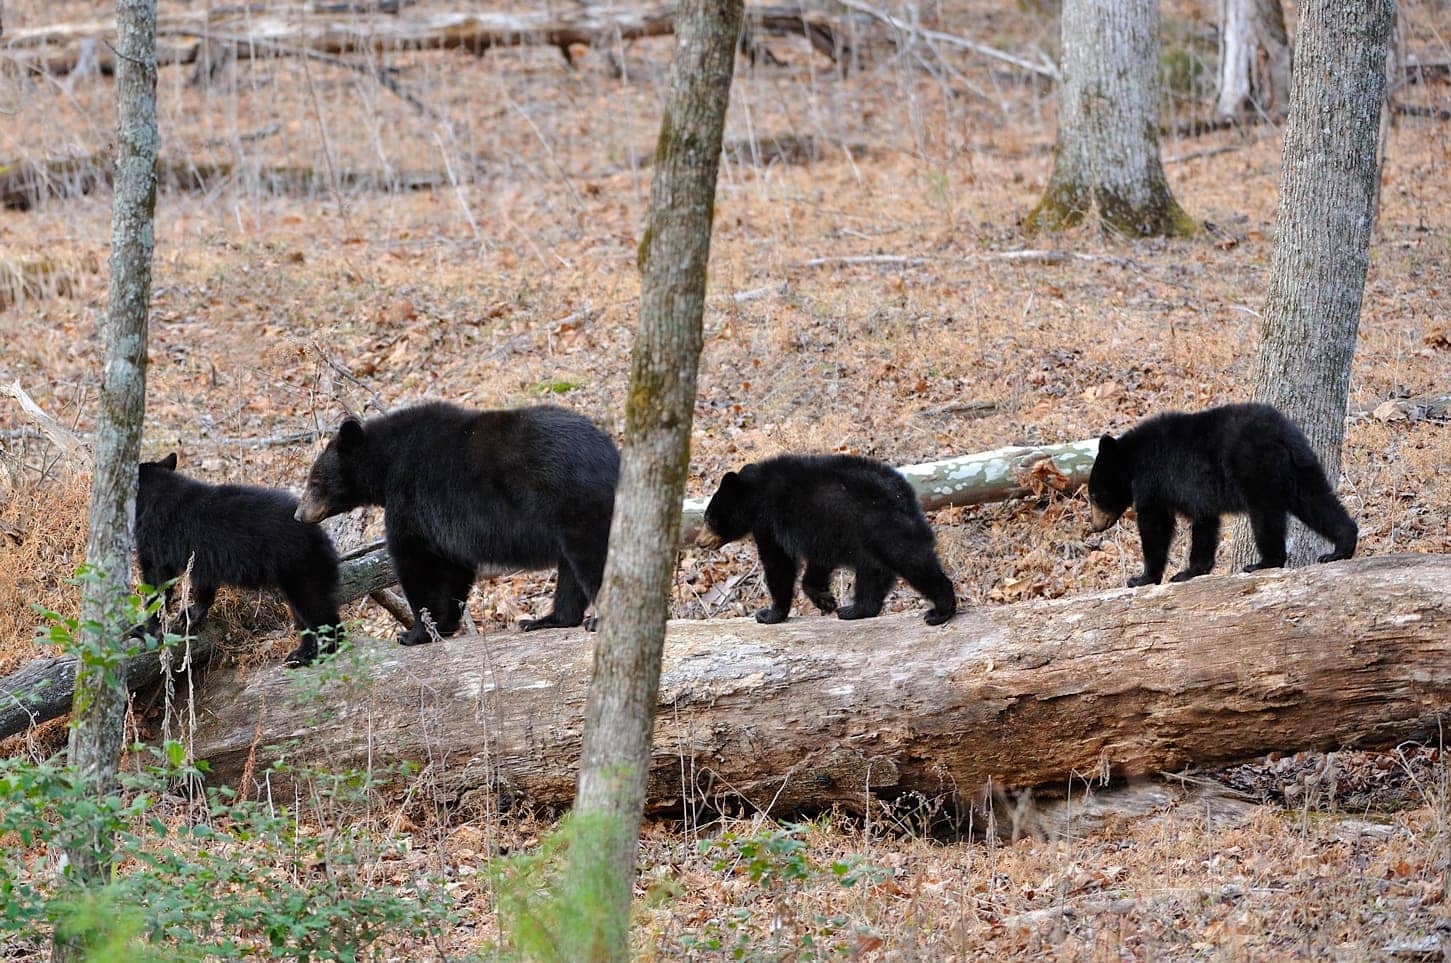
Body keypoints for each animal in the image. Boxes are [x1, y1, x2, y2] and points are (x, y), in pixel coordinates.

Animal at [134, 453, 344, 667]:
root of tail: (320, 535)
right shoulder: (204, 556)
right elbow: (202, 585)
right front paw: (191, 614)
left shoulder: (157, 538)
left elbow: (157, 582)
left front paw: (146, 628)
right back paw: (301, 652)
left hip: (301, 567)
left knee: (315, 608)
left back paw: (320, 651)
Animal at [294, 402, 619, 646]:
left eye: (315, 482)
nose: (298, 515)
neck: (386, 463)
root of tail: (612, 455)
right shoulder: (446, 523)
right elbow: (452, 566)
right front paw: (445, 624)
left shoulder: (411, 497)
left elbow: (417, 561)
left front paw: (414, 633)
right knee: (571, 571)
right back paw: (547, 620)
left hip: (575, 501)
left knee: (593, 558)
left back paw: (597, 620)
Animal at [696, 454, 957, 626]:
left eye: (708, 518)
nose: (699, 542)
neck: (755, 493)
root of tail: (906, 495)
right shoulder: (823, 531)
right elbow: (818, 563)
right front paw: (825, 600)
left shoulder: (769, 523)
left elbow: (778, 564)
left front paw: (769, 614)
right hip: (866, 536)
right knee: (873, 572)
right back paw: (856, 610)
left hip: (883, 527)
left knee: (911, 561)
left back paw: (940, 610)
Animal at [1086, 402, 1359, 587]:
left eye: (1095, 496)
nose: (1095, 526)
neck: (1132, 460)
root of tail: (1280, 433)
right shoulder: (1196, 490)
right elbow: (1205, 522)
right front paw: (1192, 571)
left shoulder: (1155, 479)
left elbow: (1156, 525)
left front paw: (1143, 578)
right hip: (1300, 466)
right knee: (1316, 500)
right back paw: (1341, 548)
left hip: (1256, 467)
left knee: (1266, 515)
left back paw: (1264, 562)